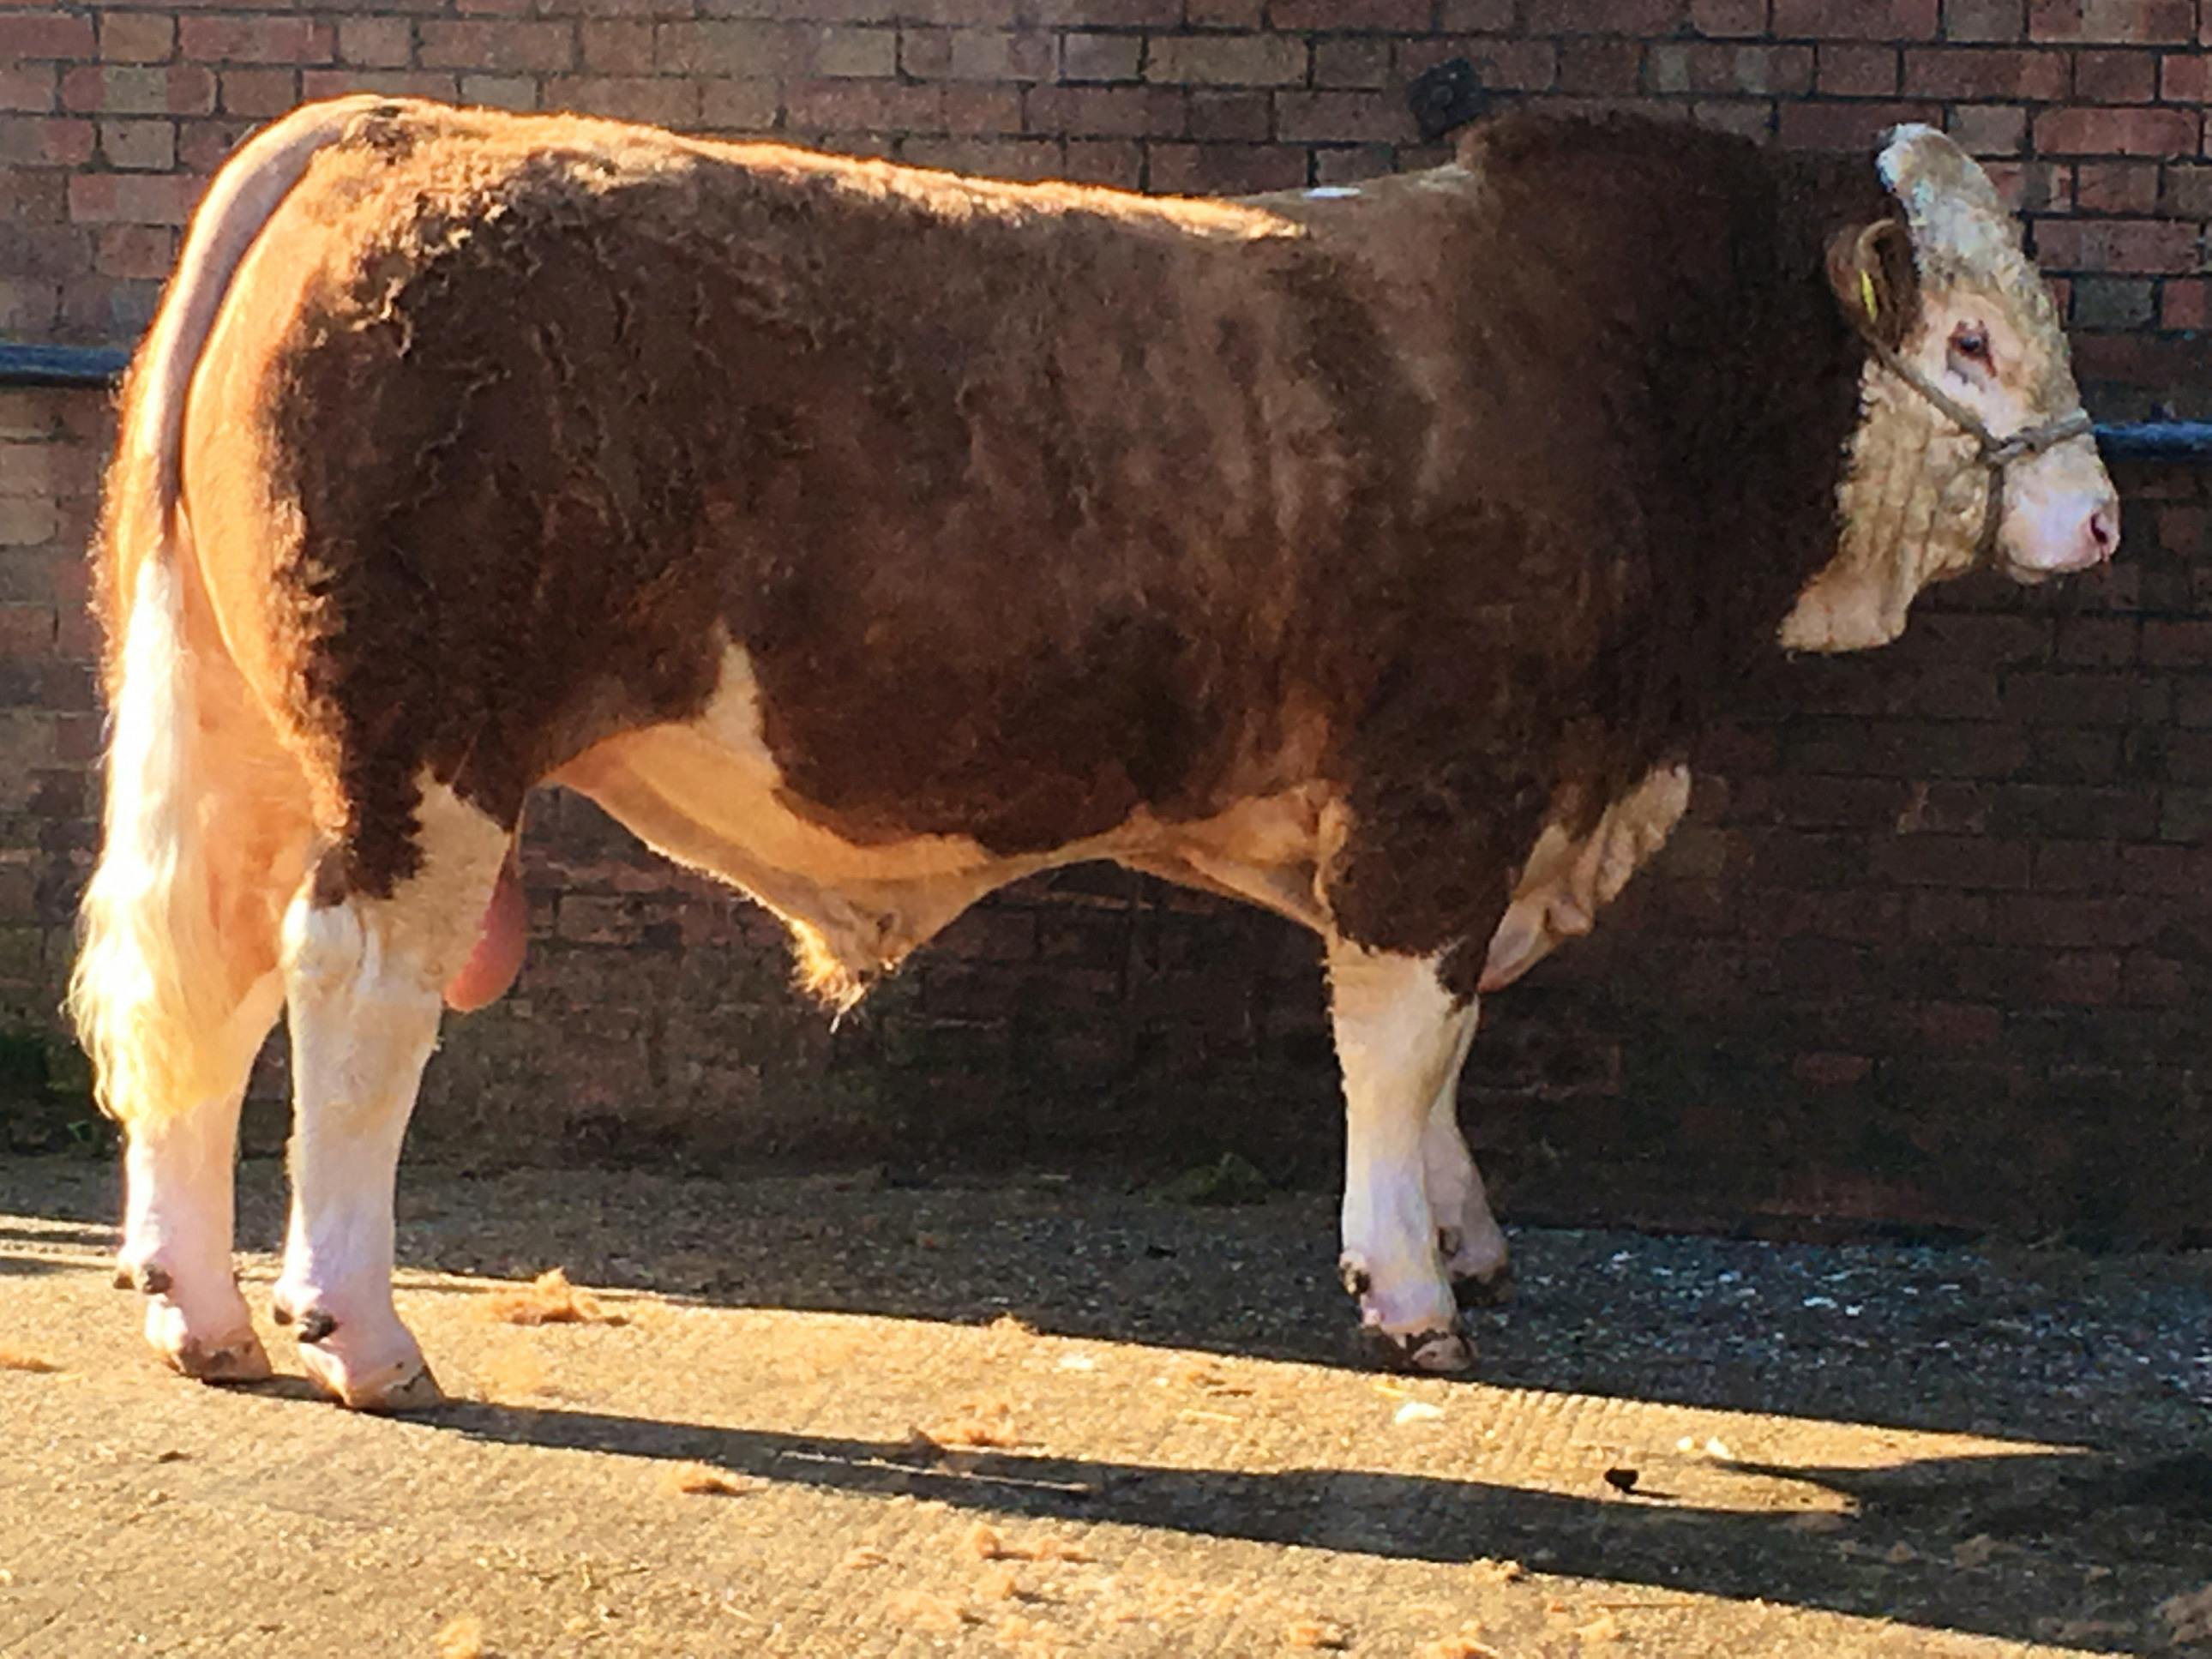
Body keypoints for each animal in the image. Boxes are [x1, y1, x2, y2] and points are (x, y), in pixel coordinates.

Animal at [69, 96, 2116, 1409]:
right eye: (1966, 338)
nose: (2099, 517)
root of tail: (382, 130)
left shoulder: (1496, 814)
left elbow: (1455, 1040)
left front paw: (1465, 1234)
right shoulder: (1442, 788)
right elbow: (1401, 1032)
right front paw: (1407, 1286)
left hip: (259, 742)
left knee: (201, 972)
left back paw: (200, 1312)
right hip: (422, 753)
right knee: (352, 993)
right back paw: (360, 1331)